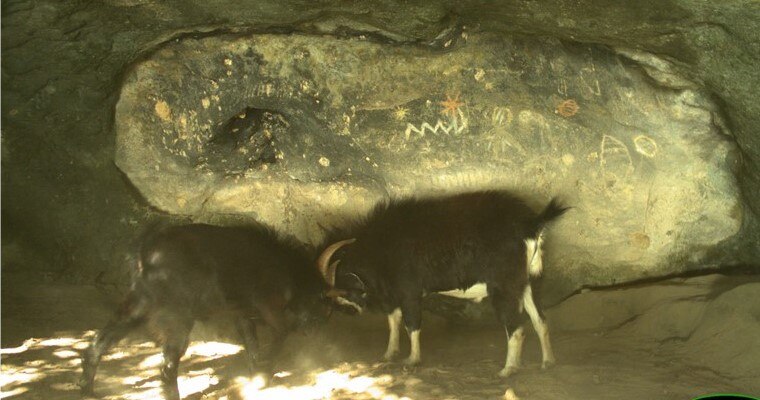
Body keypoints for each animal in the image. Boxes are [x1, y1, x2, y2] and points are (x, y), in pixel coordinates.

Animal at [80, 223, 330, 399]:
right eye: (319, 297)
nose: (321, 322)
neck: (287, 269)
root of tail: (146, 250)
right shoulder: (270, 310)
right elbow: (278, 338)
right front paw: (264, 376)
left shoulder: (242, 315)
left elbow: (252, 346)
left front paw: (256, 376)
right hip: (177, 319)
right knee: (167, 365)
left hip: (136, 307)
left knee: (98, 343)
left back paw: (87, 389)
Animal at [316, 190, 568, 377]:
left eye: (340, 287)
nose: (347, 311)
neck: (381, 246)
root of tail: (530, 223)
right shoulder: (395, 293)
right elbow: (393, 321)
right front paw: (389, 354)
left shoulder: (409, 291)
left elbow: (411, 324)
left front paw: (412, 360)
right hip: (529, 282)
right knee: (540, 321)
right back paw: (548, 362)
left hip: (504, 286)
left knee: (516, 327)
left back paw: (508, 369)